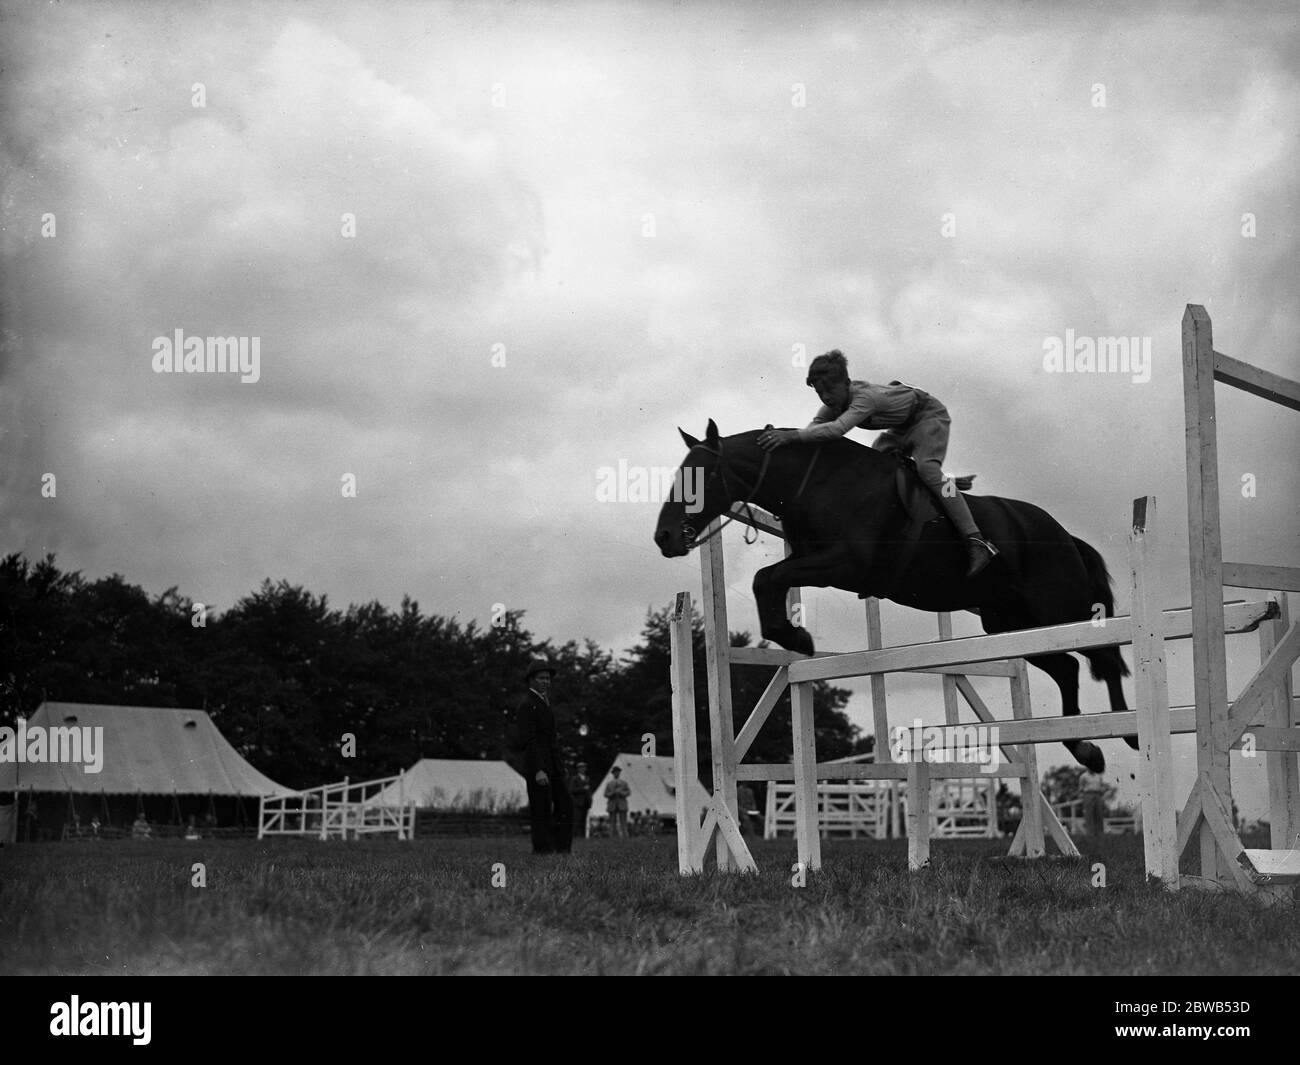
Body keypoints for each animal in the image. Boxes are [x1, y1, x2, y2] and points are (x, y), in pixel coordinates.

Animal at [653, 420, 1138, 772]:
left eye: (698, 478)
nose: (664, 537)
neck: (817, 482)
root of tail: (1066, 536)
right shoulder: (817, 562)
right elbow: (765, 579)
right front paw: (792, 637)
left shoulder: (843, 564)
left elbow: (766, 576)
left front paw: (796, 638)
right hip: (1010, 622)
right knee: (1067, 668)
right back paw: (1085, 746)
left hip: (1060, 608)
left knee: (1106, 655)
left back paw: (1129, 730)